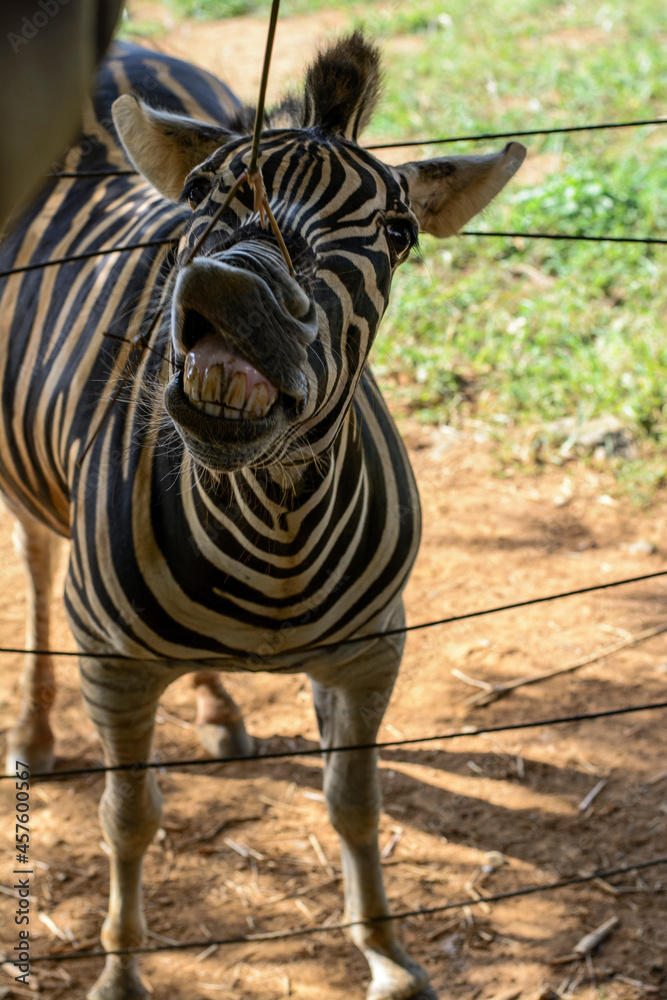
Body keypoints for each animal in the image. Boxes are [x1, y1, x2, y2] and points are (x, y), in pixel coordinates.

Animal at [0, 32, 524, 1000]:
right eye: (209, 195)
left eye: (397, 233)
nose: (233, 294)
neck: (277, 523)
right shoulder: (116, 667)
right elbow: (127, 818)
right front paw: (119, 975)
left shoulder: (373, 655)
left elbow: (355, 804)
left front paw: (386, 954)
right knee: (36, 562)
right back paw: (37, 732)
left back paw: (218, 711)